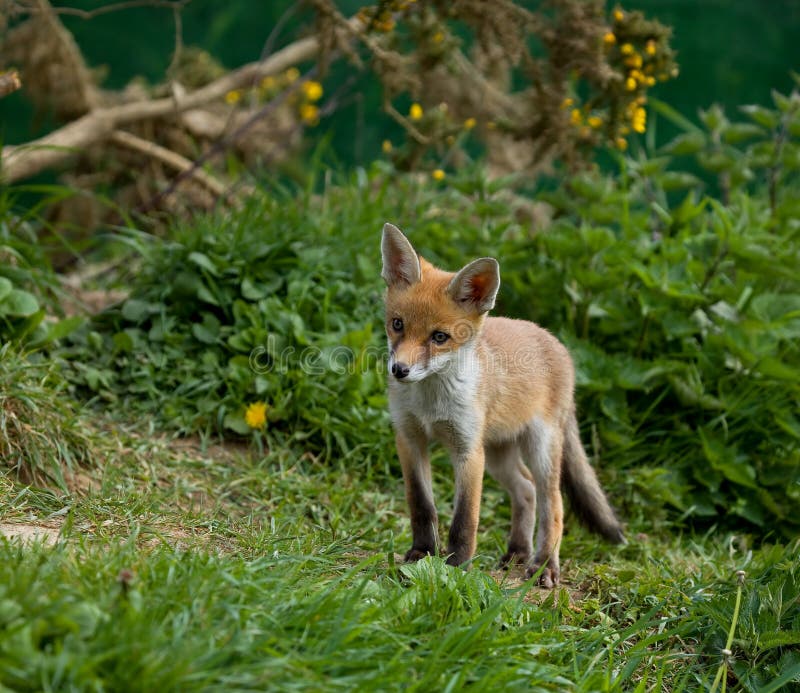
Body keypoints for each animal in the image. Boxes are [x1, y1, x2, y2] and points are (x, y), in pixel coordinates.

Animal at [380, 222, 625, 586]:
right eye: (397, 324)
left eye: (439, 337)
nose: (399, 371)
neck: (430, 403)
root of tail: (556, 343)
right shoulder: (409, 438)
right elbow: (421, 506)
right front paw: (421, 554)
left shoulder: (468, 450)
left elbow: (465, 520)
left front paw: (455, 567)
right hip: (499, 453)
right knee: (526, 490)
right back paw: (517, 552)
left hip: (539, 448)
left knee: (553, 505)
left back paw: (544, 566)